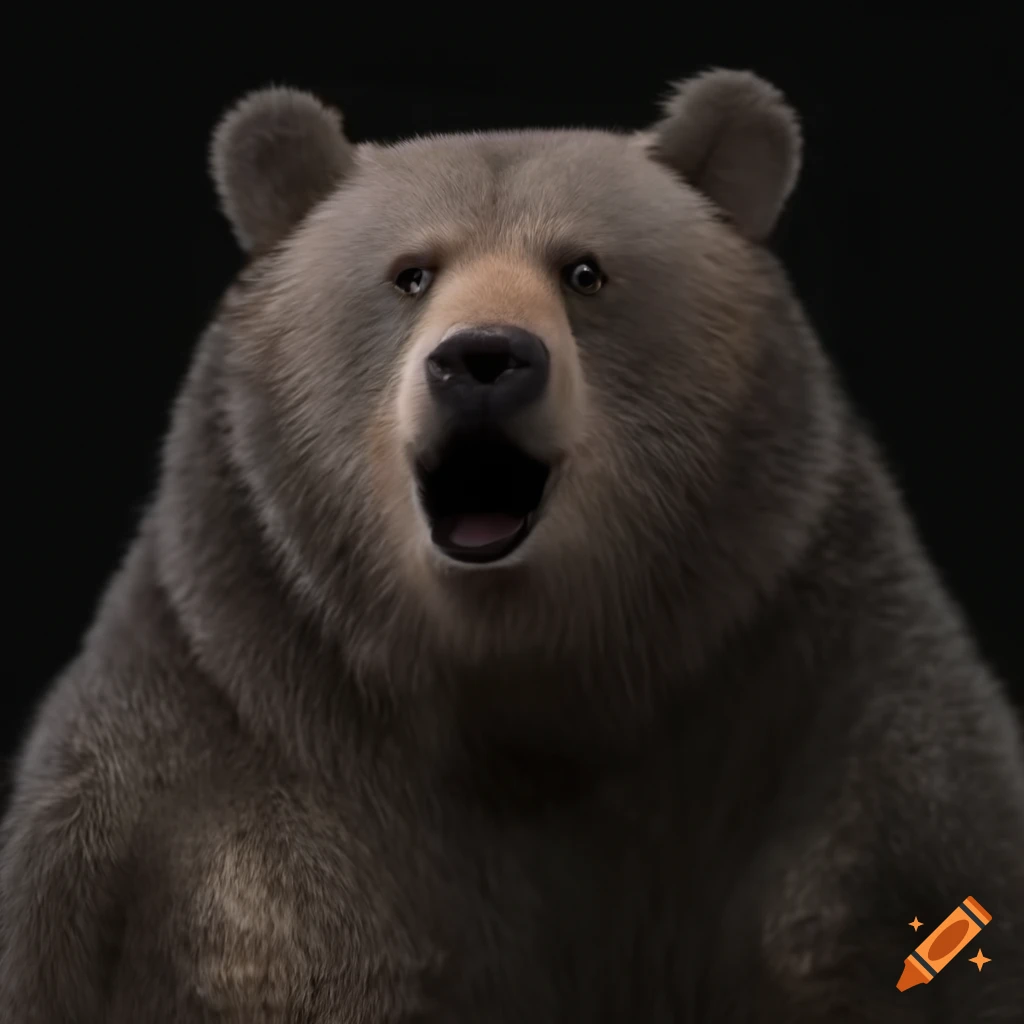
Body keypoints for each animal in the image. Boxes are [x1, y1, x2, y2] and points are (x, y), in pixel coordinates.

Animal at [2, 68, 1023, 1023]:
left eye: (584, 270)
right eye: (411, 272)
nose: (483, 359)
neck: (517, 677)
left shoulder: (822, 694)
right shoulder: (213, 751)